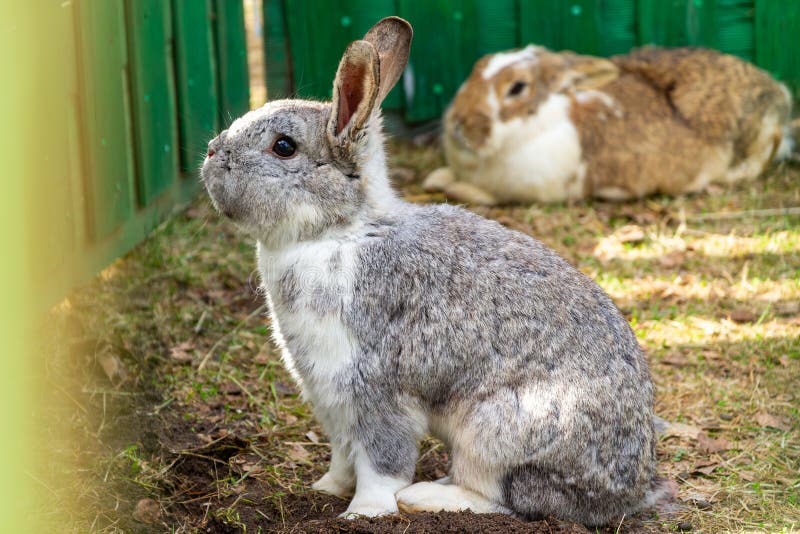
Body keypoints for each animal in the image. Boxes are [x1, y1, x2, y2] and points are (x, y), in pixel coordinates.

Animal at [201, 17, 670, 526]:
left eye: (283, 147)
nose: (212, 152)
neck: (342, 232)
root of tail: (626, 492)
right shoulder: (331, 401)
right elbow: (343, 455)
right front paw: (327, 488)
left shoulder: (373, 387)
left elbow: (382, 462)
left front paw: (363, 513)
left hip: (495, 430)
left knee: (499, 495)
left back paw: (426, 496)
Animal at [423, 45, 794, 205]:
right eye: (477, 67)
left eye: (517, 88)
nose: (457, 124)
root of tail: (779, 93)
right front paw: (436, 176)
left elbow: (474, 195)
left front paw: (442, 184)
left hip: (753, 135)